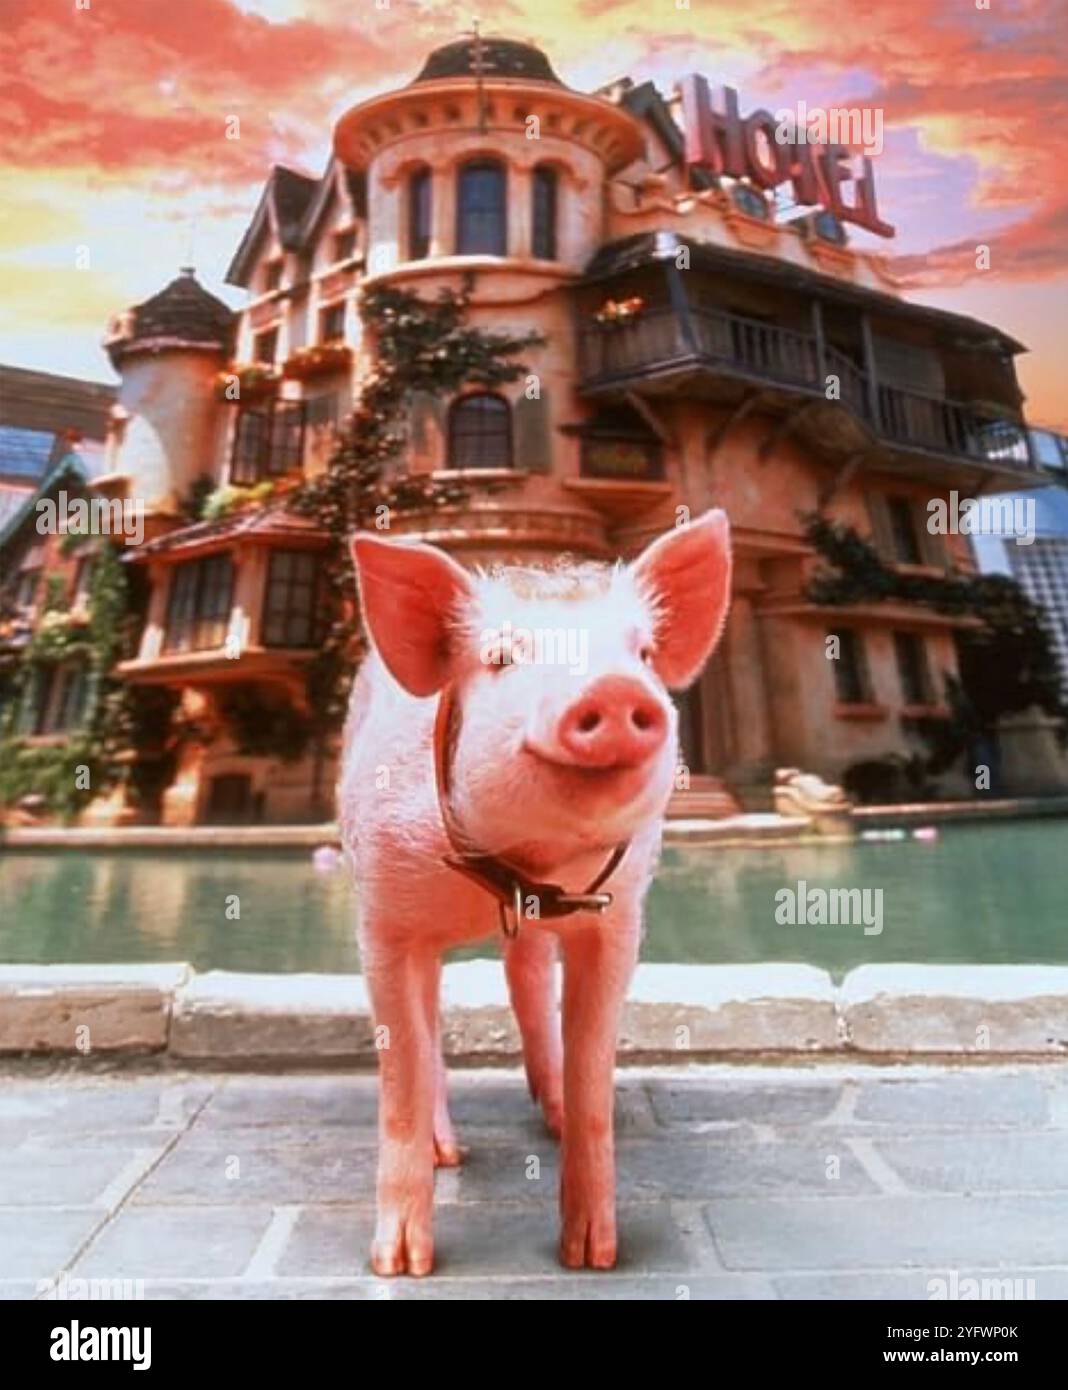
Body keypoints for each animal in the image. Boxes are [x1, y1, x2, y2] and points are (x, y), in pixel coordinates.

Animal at [340, 509, 731, 1276]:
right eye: (499, 657)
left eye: (643, 654)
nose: (613, 691)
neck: (522, 869)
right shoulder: (384, 917)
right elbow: (402, 1070)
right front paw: (400, 1266)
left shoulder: (617, 918)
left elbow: (592, 1072)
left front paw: (592, 1257)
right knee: (433, 1026)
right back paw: (448, 1154)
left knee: (525, 984)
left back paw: (547, 1114)